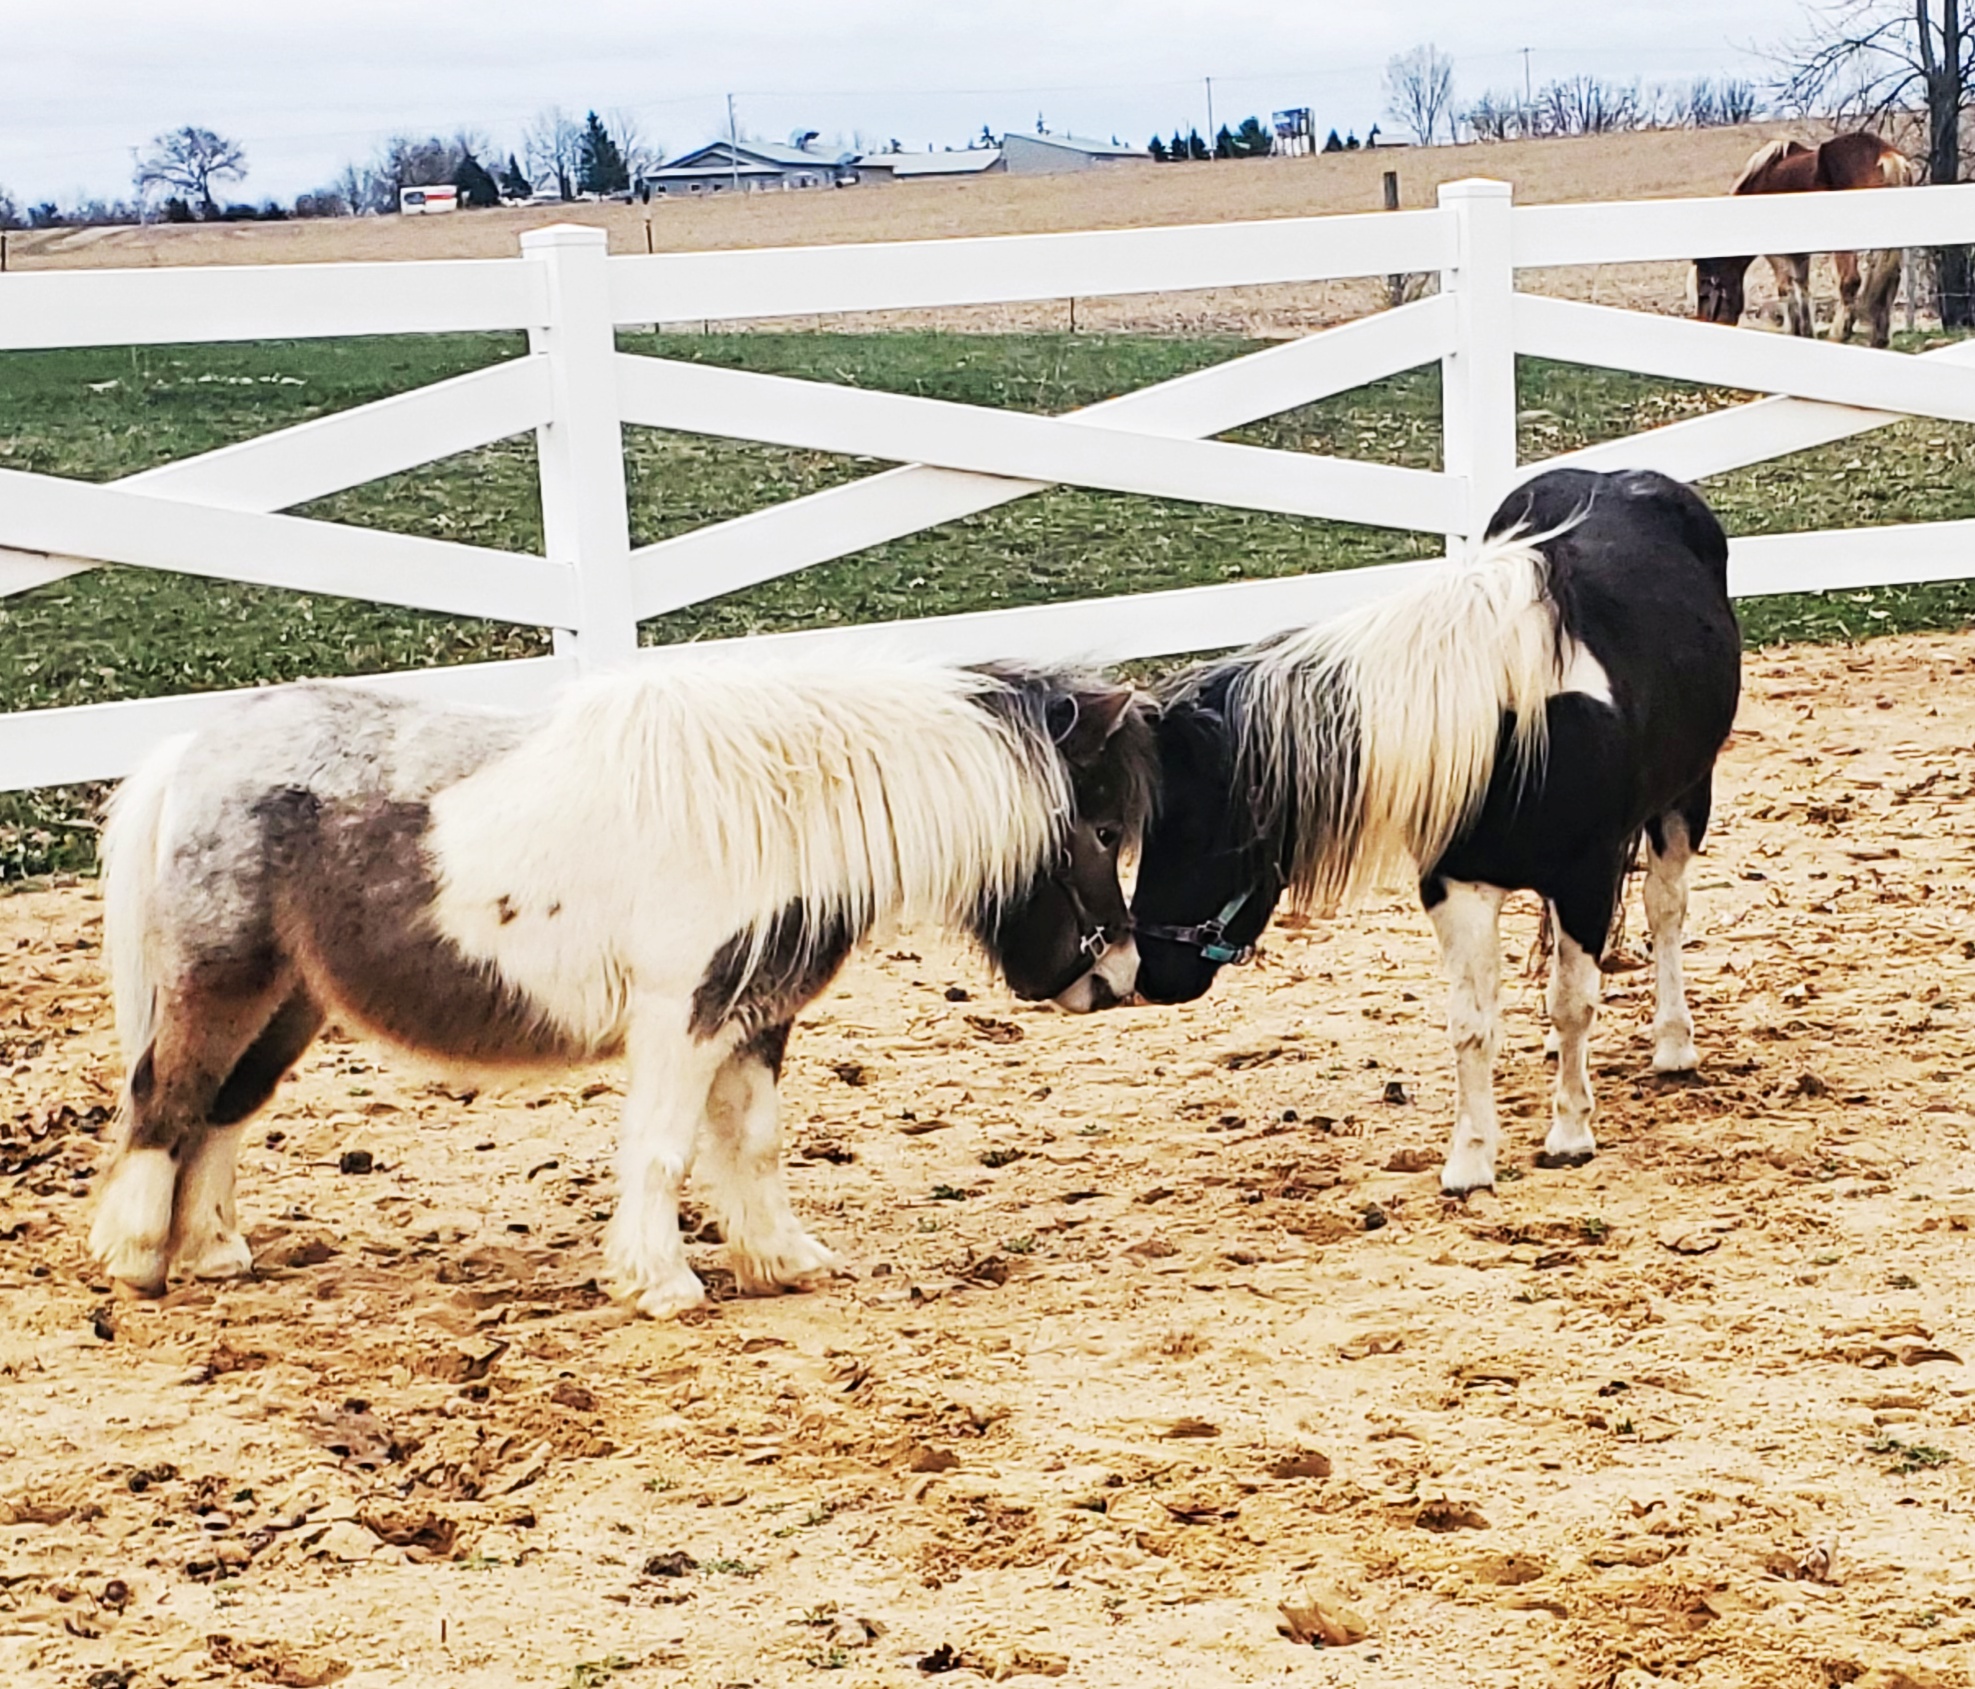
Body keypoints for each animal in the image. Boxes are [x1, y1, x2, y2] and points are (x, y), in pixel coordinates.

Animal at [88, 657, 1155, 1318]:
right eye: (1103, 828)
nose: (1118, 976)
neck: (777, 811)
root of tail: (187, 754)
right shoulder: (682, 1018)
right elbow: (662, 1150)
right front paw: (660, 1282)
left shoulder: (751, 1021)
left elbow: (753, 1145)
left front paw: (783, 1261)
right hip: (221, 985)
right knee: (165, 1100)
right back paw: (136, 1260)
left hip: (289, 1004)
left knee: (221, 1110)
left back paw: (212, 1253)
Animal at [1126, 468, 1742, 1196]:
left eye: (1200, 831)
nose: (1150, 973)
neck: (1508, 727)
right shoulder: (1457, 887)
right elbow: (1472, 1024)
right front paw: (1470, 1161)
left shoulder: (1584, 880)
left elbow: (1574, 1000)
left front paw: (1569, 1133)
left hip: (1685, 797)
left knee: (1664, 909)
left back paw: (1673, 1043)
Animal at [1694, 132, 1919, 349]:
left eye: (1704, 294)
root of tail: (1886, 155)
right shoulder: (1799, 255)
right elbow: (1802, 288)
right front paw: (1805, 333)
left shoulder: (1778, 254)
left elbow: (1786, 289)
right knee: (1889, 281)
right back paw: (1878, 340)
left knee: (1850, 282)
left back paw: (1838, 336)